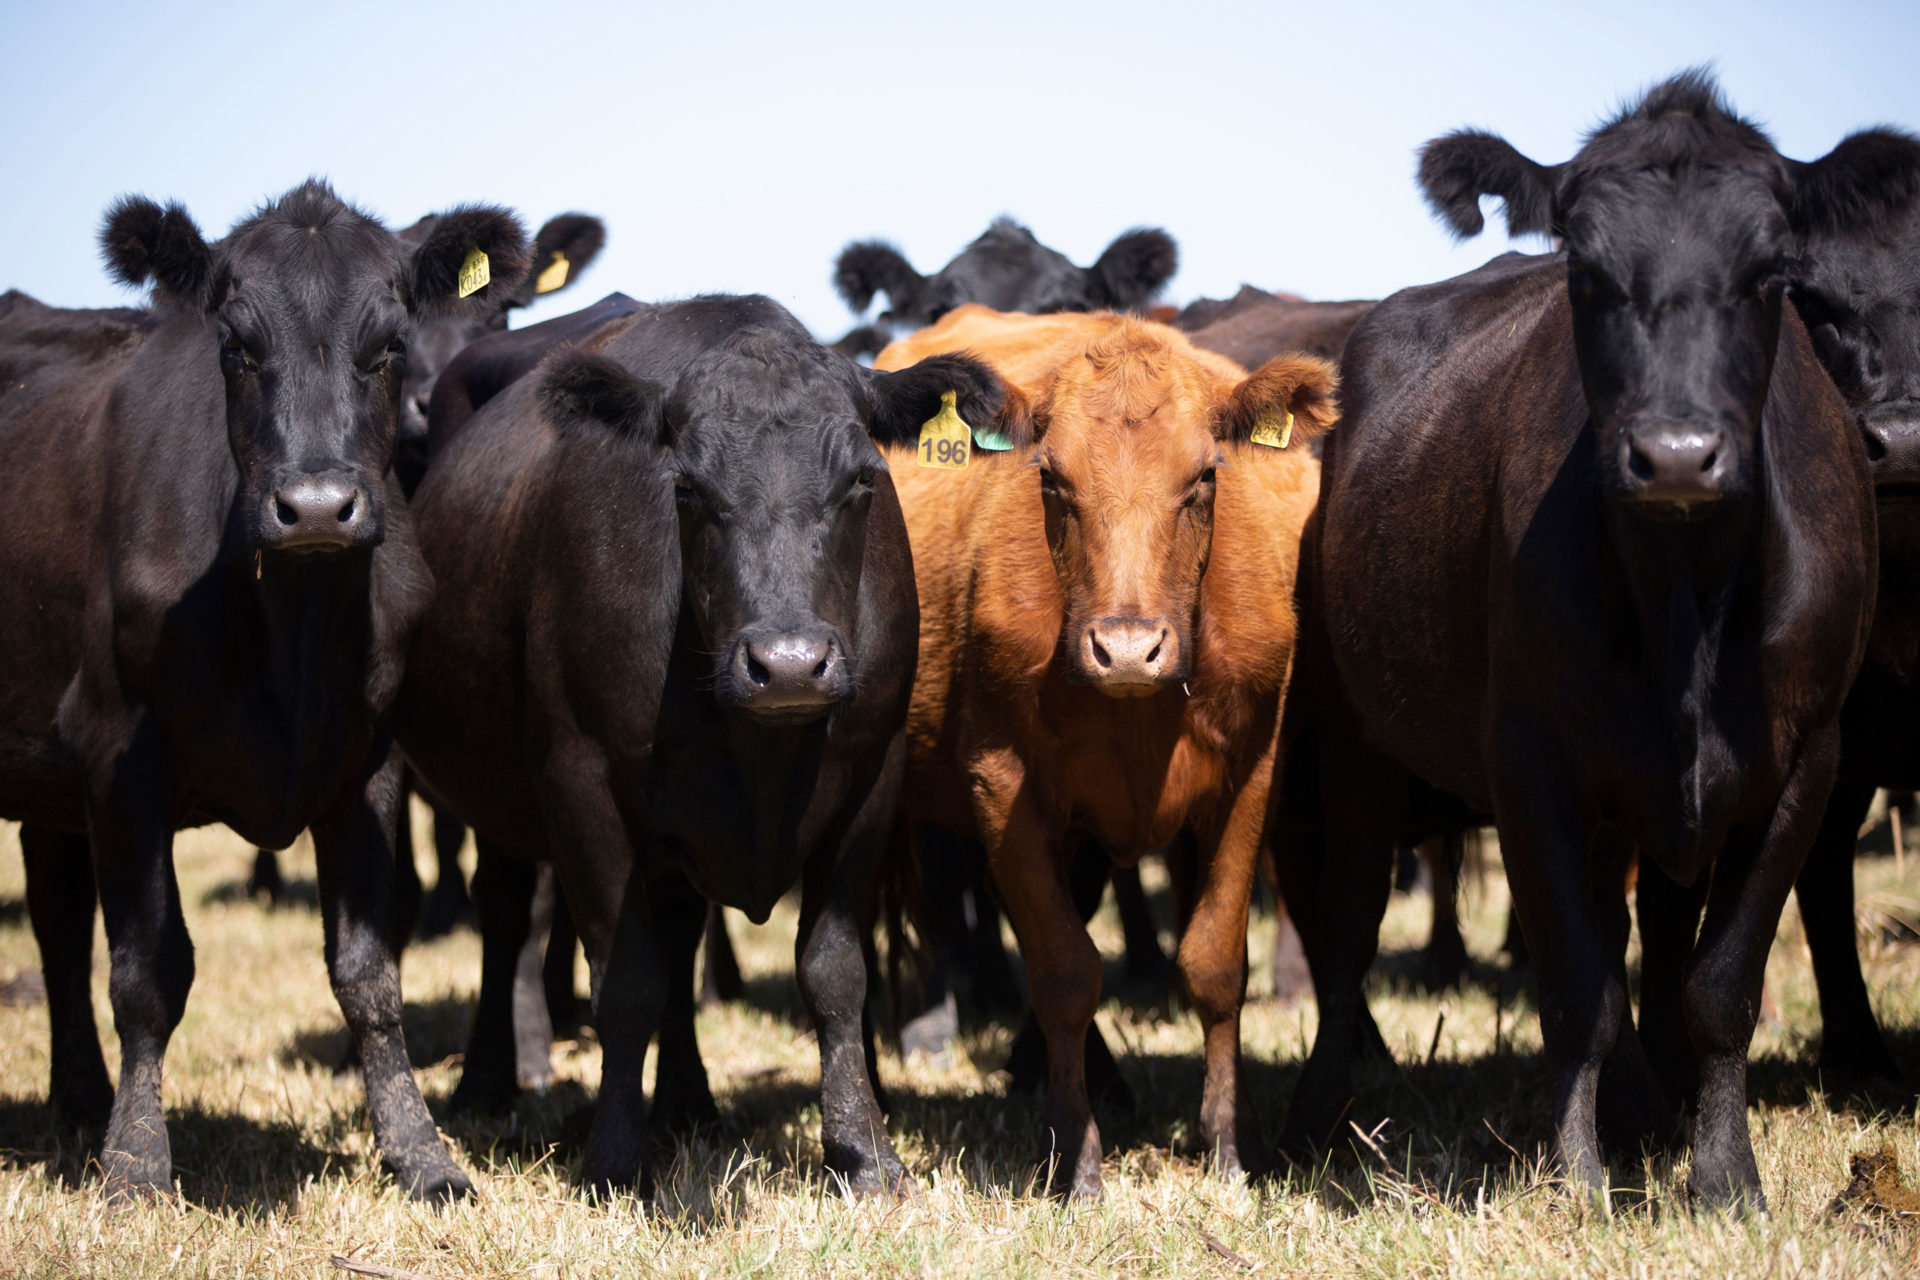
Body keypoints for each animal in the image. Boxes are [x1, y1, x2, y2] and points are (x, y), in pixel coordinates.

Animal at [0, 180, 528, 1201]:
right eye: (236, 347)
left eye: (389, 345)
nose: (317, 507)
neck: (297, 627)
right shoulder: (116, 752)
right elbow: (147, 974)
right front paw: (136, 1165)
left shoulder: (370, 761)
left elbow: (369, 970)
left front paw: (421, 1154)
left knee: (54, 922)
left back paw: (78, 1100)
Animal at [395, 292, 1014, 1197]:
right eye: (686, 487)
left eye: (863, 479)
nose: (788, 663)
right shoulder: (578, 782)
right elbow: (625, 982)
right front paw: (615, 1159)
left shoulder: (872, 777)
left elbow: (834, 971)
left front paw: (863, 1151)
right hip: (496, 795)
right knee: (506, 915)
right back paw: (487, 1082)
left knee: (681, 936)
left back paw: (687, 1101)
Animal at [876, 304, 1338, 1197]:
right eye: (1052, 479)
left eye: (1205, 476)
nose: (1127, 649)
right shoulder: (1003, 785)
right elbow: (1064, 971)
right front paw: (1076, 1158)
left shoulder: (1251, 776)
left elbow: (1213, 962)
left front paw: (1227, 1145)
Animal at [1273, 71, 1918, 1210]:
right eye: (1583, 265)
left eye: (1772, 274)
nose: (1676, 454)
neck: (1685, 603)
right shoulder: (1530, 758)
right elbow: (1576, 984)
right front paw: (1575, 1180)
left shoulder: (1807, 761)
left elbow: (1716, 982)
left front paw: (1722, 1176)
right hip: (1356, 742)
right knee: (1348, 930)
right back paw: (1318, 1120)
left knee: (1639, 937)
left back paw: (1647, 1113)